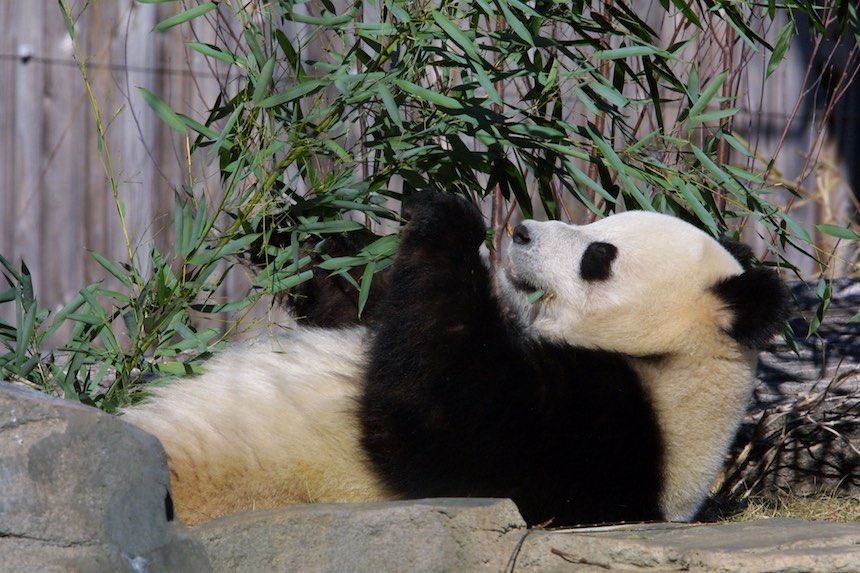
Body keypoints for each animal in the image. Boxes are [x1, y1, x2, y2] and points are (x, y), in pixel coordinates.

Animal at [122, 191, 789, 527]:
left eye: (599, 254)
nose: (520, 232)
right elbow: (367, 303)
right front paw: (291, 222)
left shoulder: (603, 434)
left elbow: (430, 410)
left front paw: (451, 215)